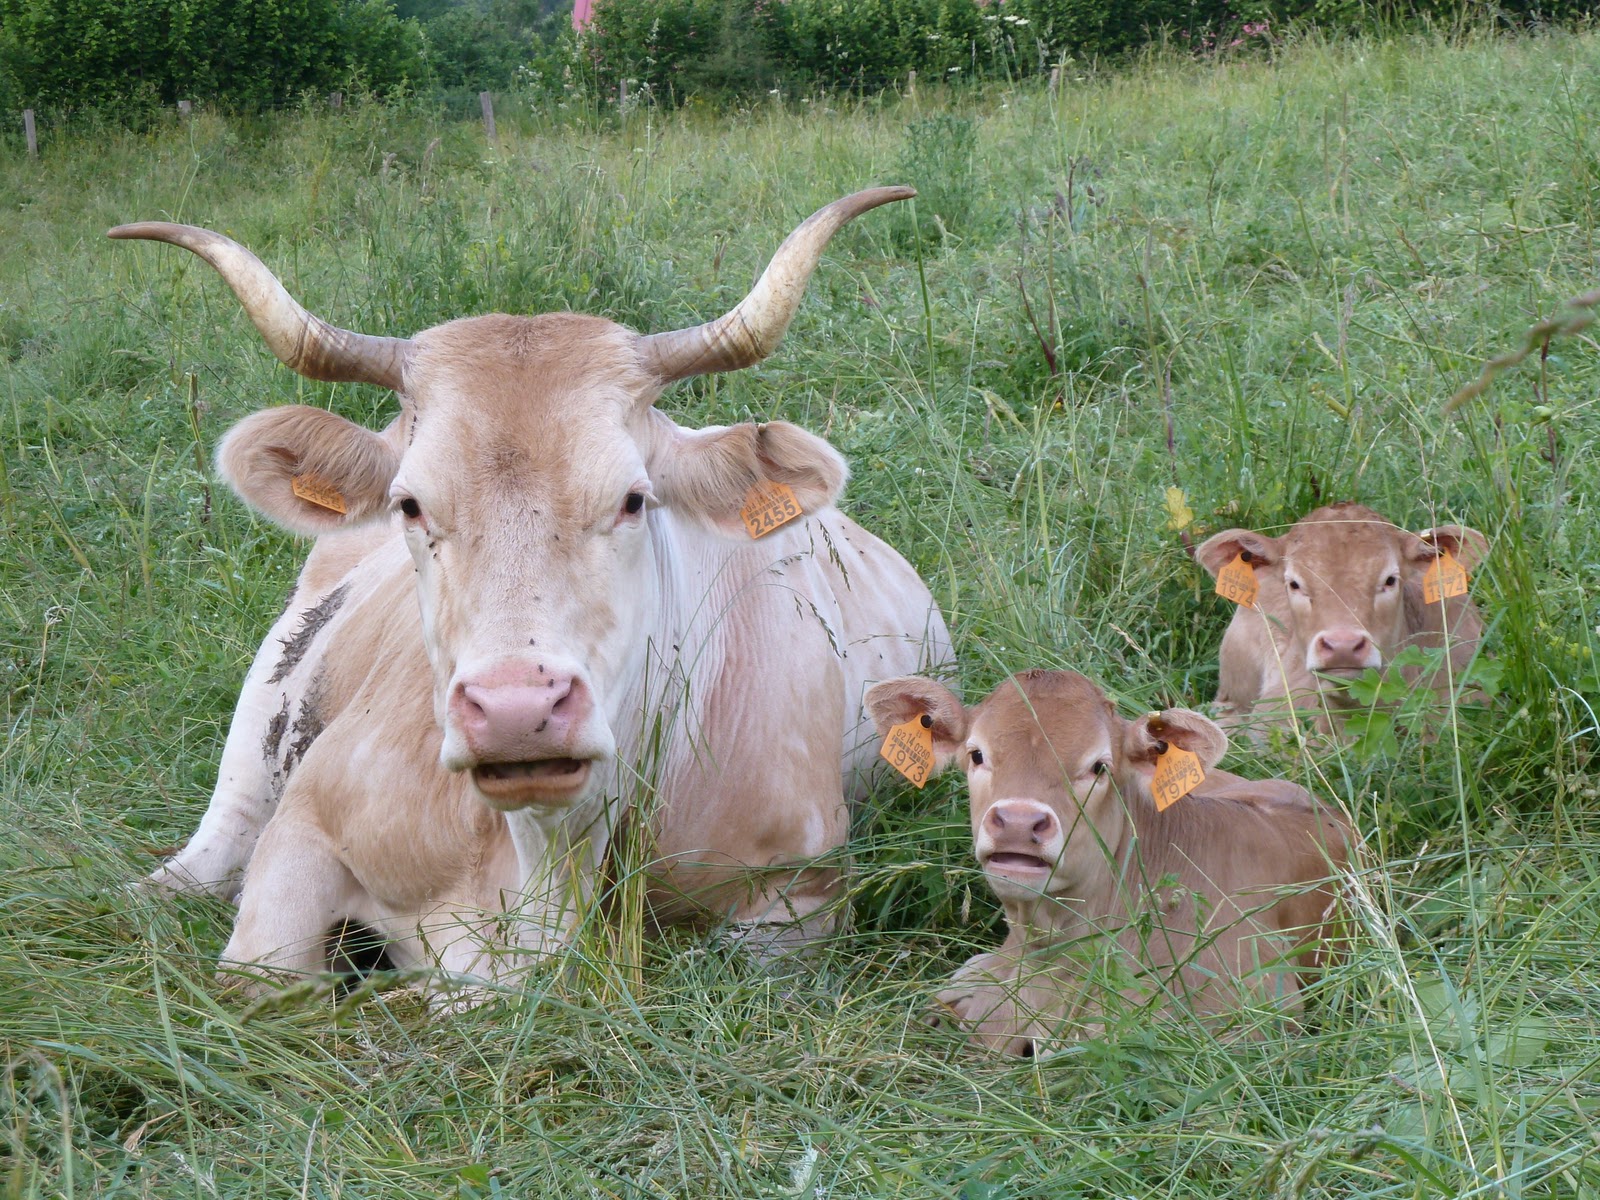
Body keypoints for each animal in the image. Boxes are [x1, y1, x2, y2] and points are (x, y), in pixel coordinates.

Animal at [114, 188, 951, 989]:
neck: (545, 856)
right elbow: (264, 982)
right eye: (410, 505)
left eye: (634, 500)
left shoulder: (799, 894)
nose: (516, 711)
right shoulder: (304, 827)